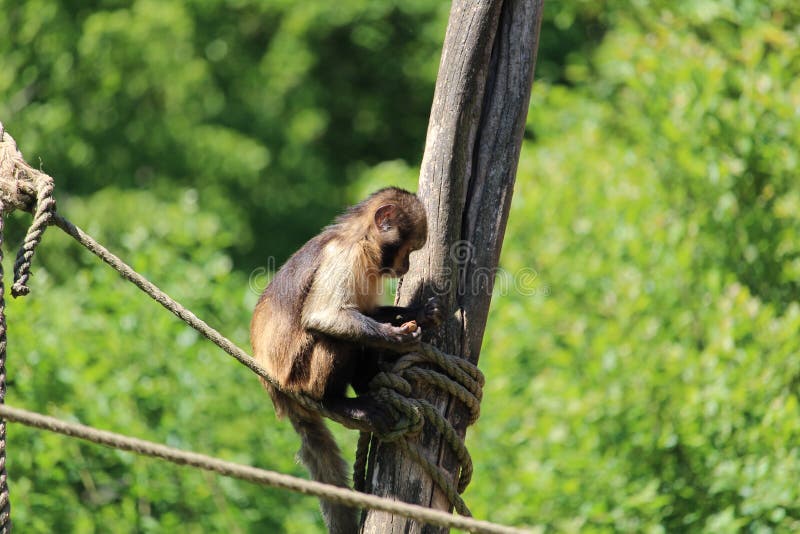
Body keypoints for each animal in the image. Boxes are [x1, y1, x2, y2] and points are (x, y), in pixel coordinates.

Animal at [250, 187, 441, 533]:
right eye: (407, 250)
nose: (406, 266)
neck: (359, 237)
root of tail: (278, 393)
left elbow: (367, 311)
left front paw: (419, 313)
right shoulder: (346, 255)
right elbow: (323, 317)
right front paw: (396, 336)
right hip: (298, 377)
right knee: (337, 338)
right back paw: (338, 402)